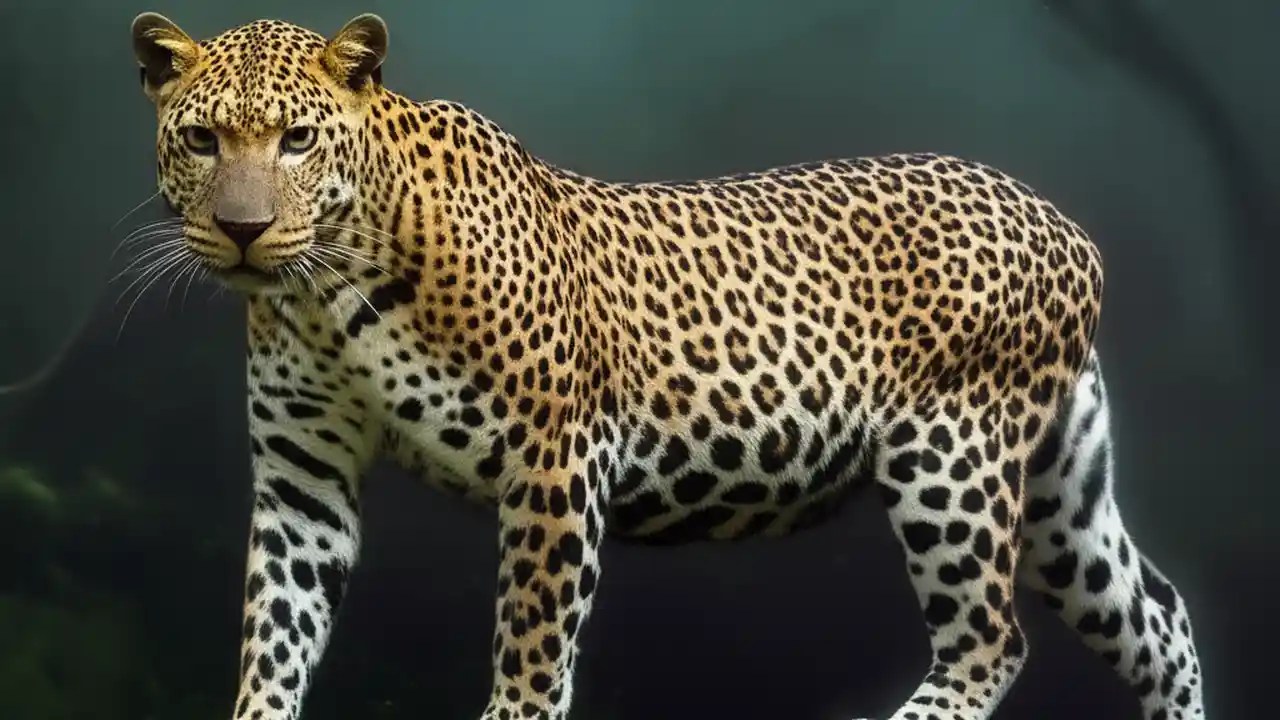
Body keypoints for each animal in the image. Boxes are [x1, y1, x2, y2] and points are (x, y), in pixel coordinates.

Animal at [128, 11, 1206, 720]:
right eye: (201, 138)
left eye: (298, 139)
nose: (241, 229)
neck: (324, 290)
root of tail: (1066, 227)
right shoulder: (302, 481)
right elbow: (275, 636)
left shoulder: (556, 462)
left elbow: (532, 650)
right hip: (1061, 495)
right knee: (1159, 618)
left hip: (953, 458)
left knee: (991, 639)